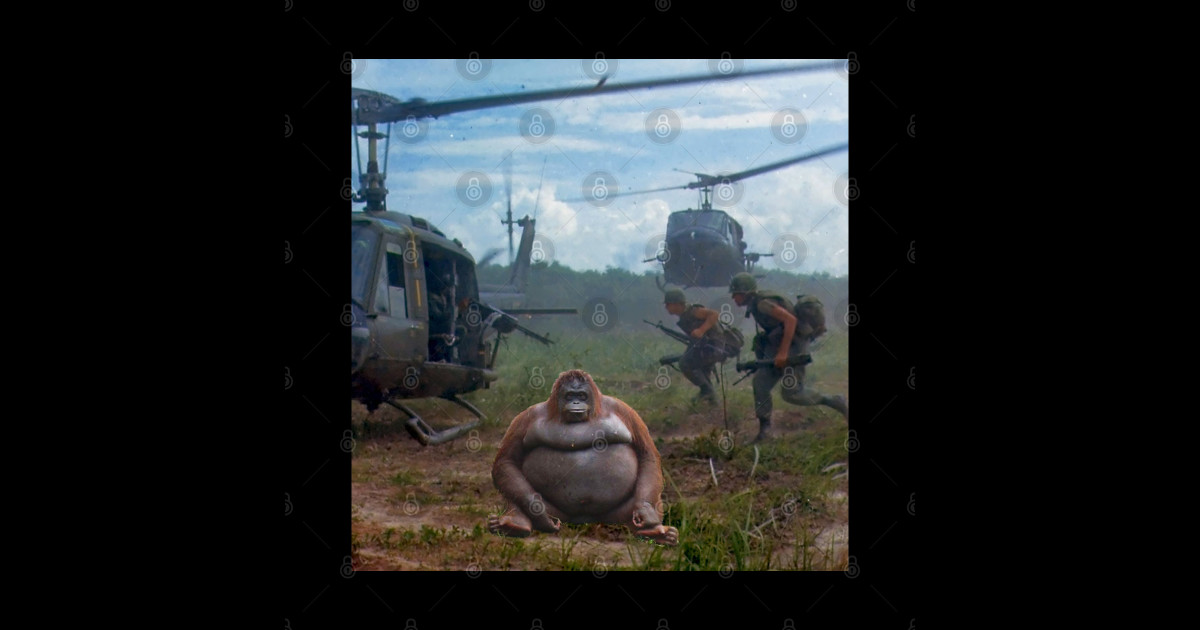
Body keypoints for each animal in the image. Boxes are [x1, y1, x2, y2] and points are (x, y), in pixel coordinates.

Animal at [488, 369, 679, 546]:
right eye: (569, 395)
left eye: (581, 395)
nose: (576, 402)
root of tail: (584, 521)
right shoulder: (527, 416)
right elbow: (506, 461)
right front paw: (538, 512)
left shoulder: (624, 410)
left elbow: (647, 455)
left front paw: (645, 513)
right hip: (561, 516)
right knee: (514, 485)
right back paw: (513, 524)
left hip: (613, 516)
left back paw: (654, 532)